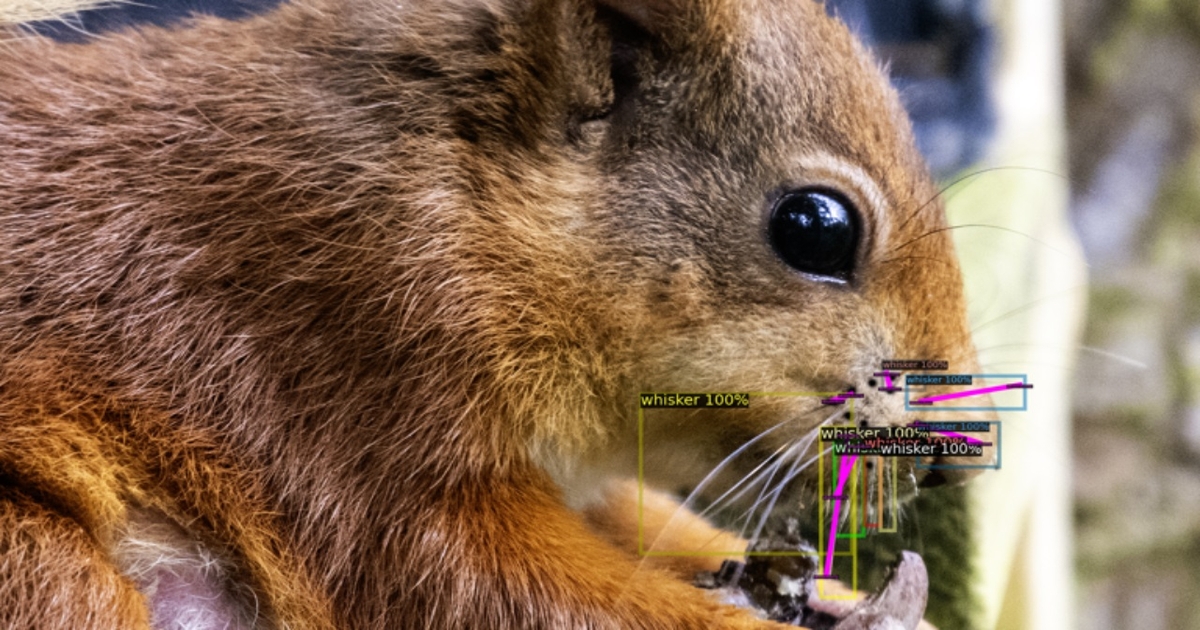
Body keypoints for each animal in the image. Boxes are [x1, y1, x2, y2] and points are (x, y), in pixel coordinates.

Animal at [0, 0, 997, 627]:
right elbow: (482, 582)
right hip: (45, 569)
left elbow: (640, 523)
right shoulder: (326, 381)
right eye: (814, 227)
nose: (958, 457)